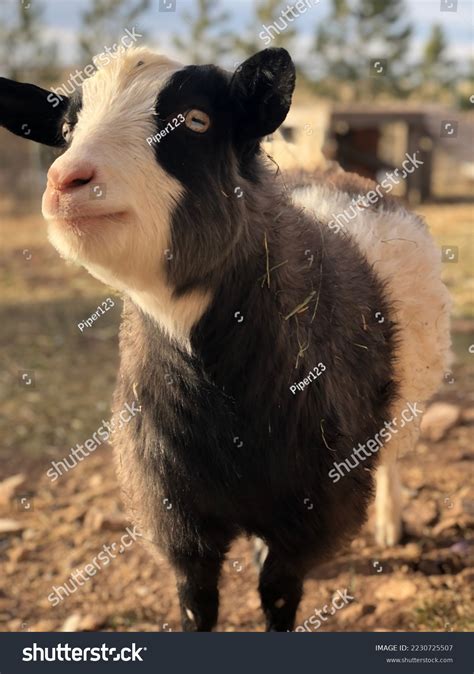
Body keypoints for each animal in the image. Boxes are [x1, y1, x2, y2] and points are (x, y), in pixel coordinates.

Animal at [0, 47, 451, 631]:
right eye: (66, 129)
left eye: (196, 120)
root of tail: (320, 167)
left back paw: (391, 524)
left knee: (392, 457)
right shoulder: (176, 517)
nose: (65, 180)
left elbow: (278, 598)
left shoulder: (312, 512)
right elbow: (199, 604)